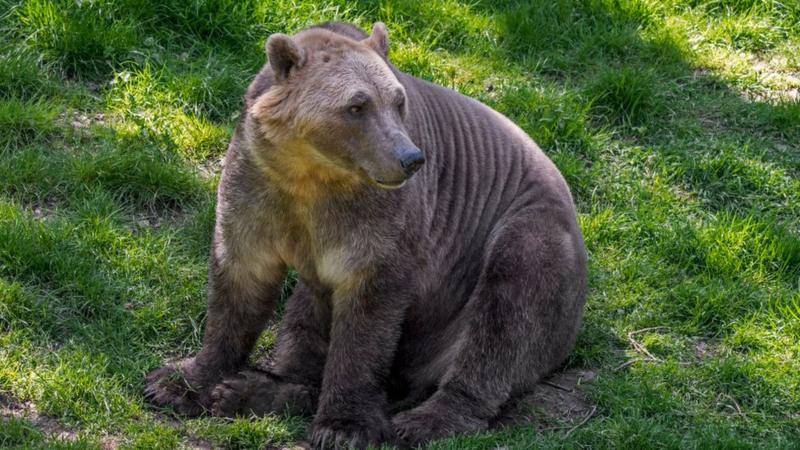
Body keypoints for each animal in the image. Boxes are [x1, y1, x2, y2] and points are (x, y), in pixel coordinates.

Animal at [145, 21, 588, 449]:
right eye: (357, 105)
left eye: (398, 101)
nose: (410, 159)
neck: (310, 172)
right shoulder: (258, 184)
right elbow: (240, 277)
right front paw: (177, 382)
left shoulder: (380, 221)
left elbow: (368, 315)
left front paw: (344, 425)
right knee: (304, 318)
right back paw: (250, 391)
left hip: (525, 236)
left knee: (506, 312)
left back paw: (428, 419)